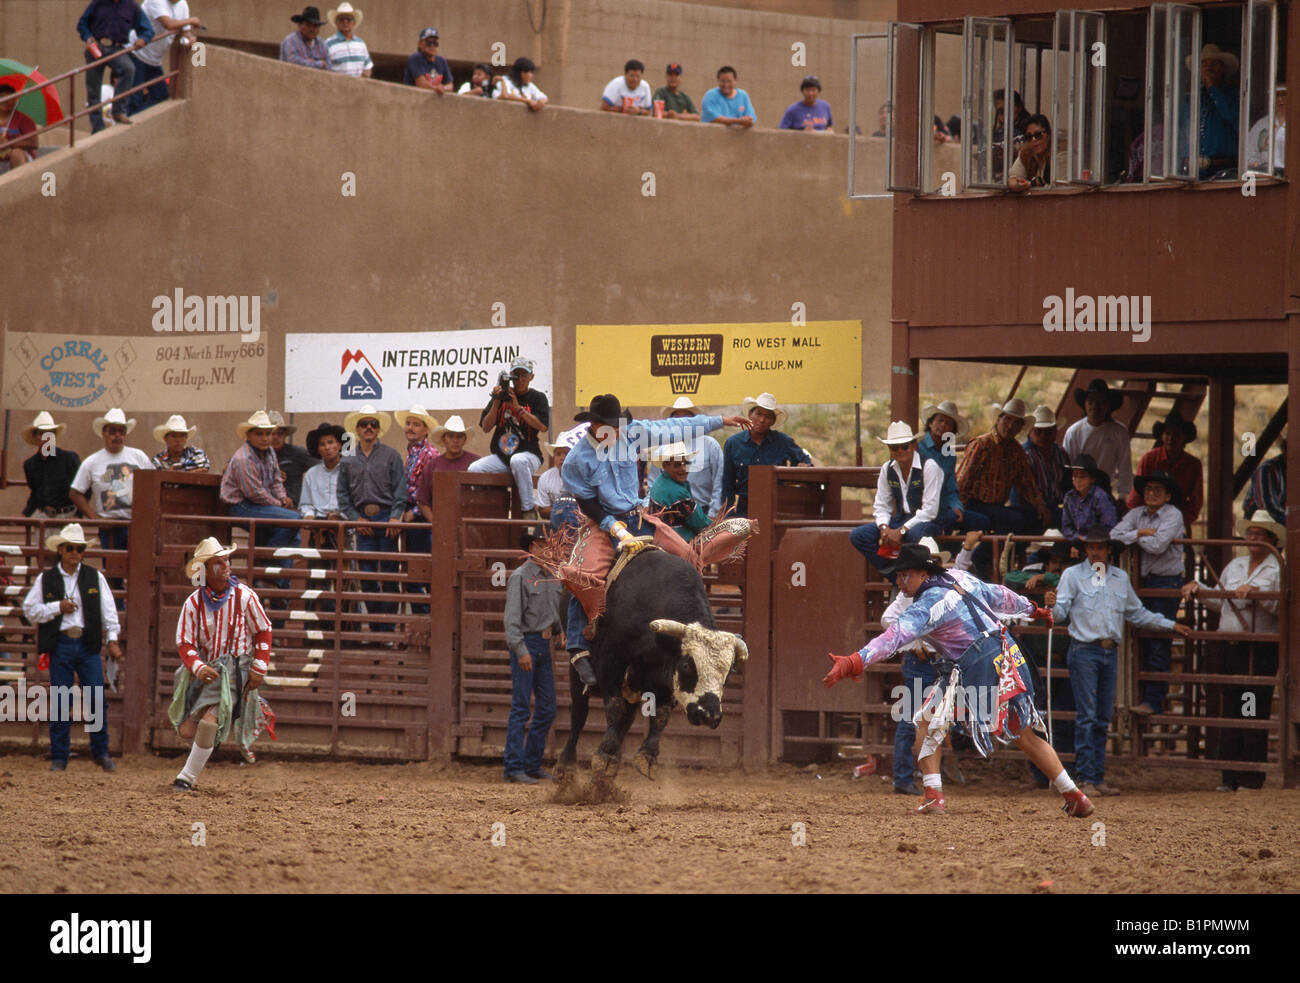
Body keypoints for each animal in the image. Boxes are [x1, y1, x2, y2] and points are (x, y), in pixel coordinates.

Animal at [554, 548, 748, 781]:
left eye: (728, 675)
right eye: (686, 666)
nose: (710, 715)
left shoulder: (662, 677)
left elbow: (660, 716)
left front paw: (646, 757)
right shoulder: (611, 662)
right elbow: (615, 708)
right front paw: (604, 754)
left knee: (626, 718)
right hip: (578, 671)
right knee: (579, 712)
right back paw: (566, 765)